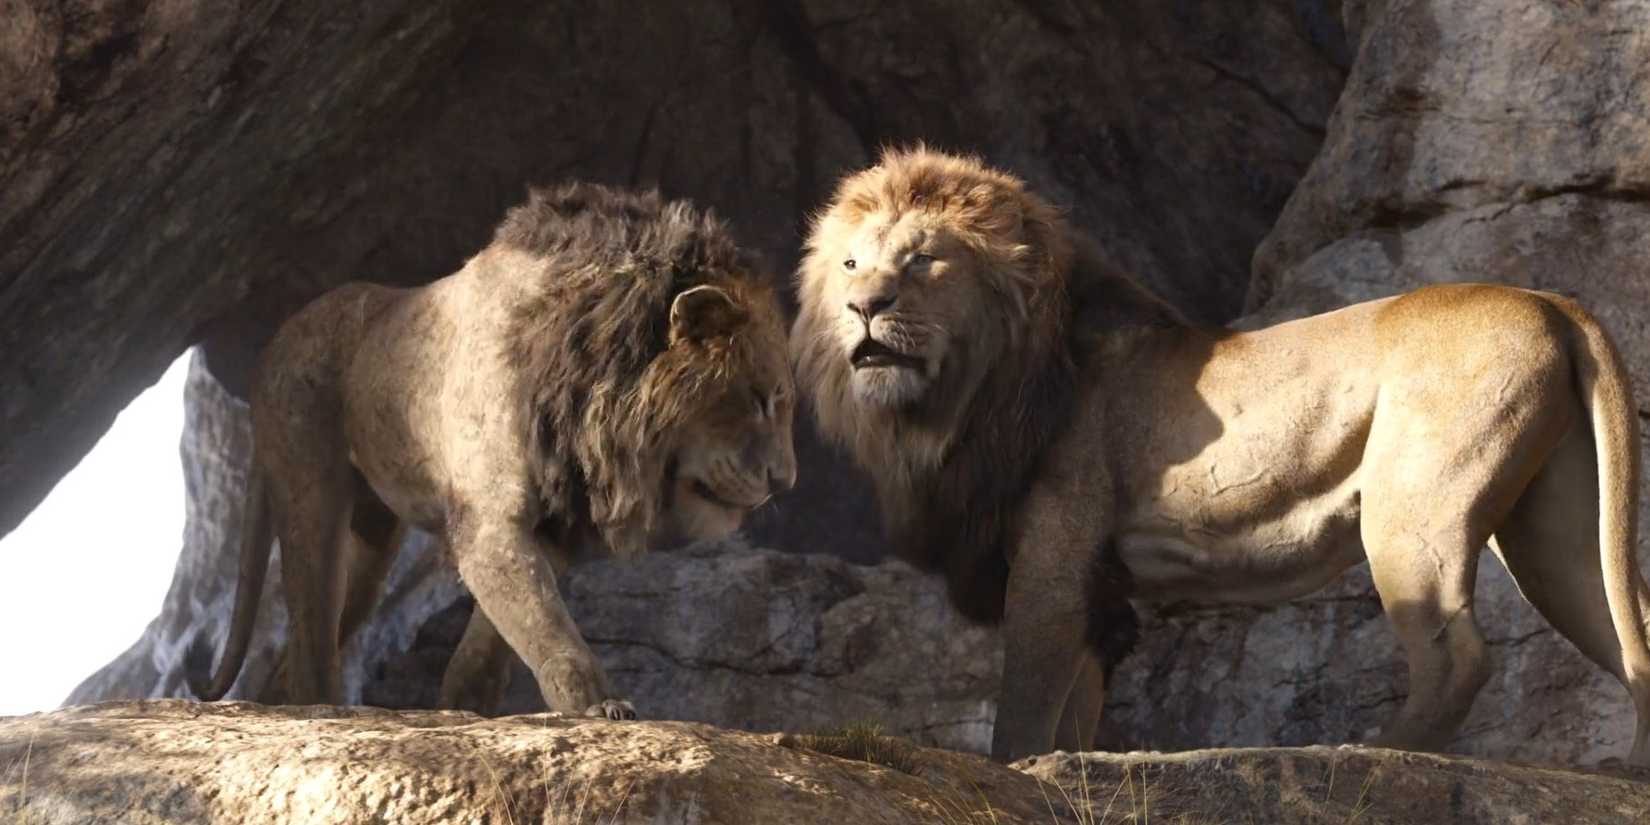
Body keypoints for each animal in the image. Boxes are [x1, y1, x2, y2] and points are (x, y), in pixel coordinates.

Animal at [187, 182, 797, 719]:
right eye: (761, 399)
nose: (785, 481)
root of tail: (276, 339)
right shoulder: (488, 525)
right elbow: (549, 627)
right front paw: (599, 706)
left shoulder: (552, 526)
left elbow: (494, 643)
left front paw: (465, 708)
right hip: (309, 478)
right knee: (311, 620)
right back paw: (323, 710)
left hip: (372, 535)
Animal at [792, 146, 1650, 766]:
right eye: (851, 264)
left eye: (923, 260)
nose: (862, 307)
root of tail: (1553, 301)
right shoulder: (1101, 585)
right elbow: (1075, 708)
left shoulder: (1057, 552)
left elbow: (1026, 702)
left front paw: (1021, 770)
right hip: (1552, 532)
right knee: (1626, 632)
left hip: (1413, 508)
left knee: (1457, 652)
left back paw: (1371, 750)